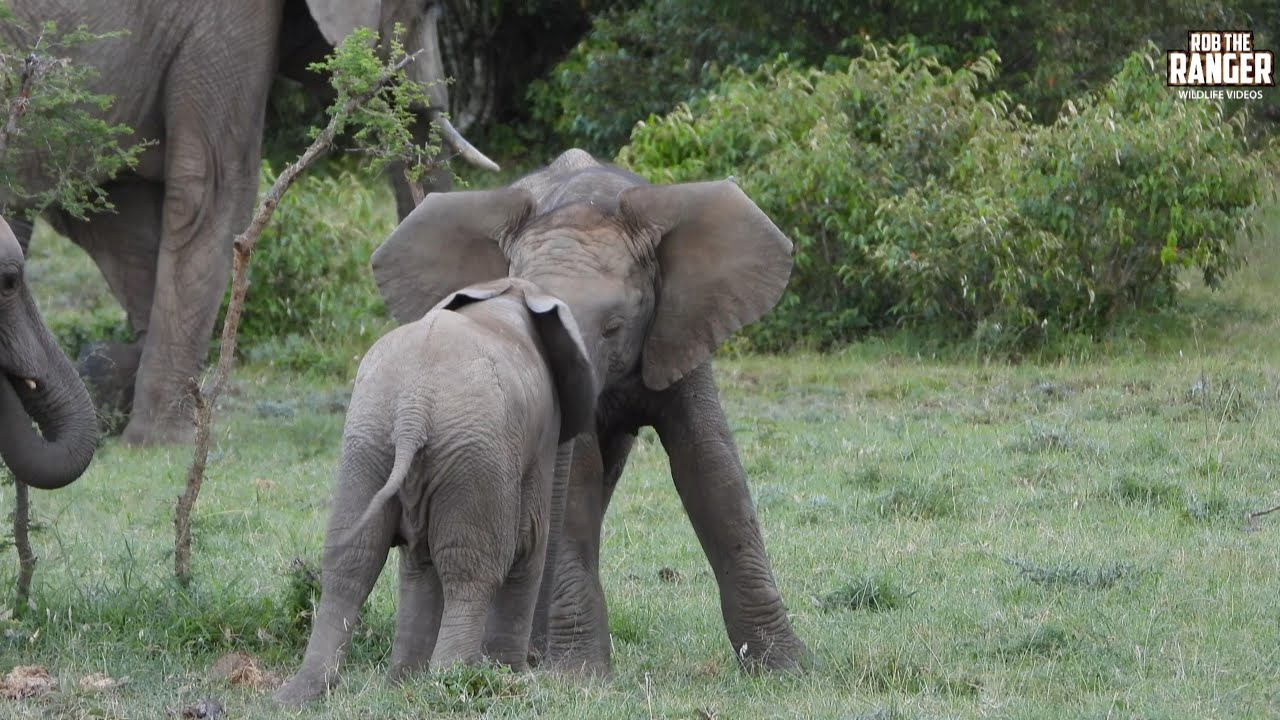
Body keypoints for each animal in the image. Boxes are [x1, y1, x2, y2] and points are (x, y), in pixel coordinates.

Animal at [274, 276, 595, 705]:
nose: (535, 663)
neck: (507, 291)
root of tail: (413, 407)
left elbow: (417, 561)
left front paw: (402, 686)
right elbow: (528, 542)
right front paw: (514, 678)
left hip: (367, 441)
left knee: (352, 561)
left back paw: (302, 695)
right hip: (473, 456)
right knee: (472, 570)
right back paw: (451, 682)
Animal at [369, 149, 810, 675]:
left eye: (614, 327)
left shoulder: (679, 327)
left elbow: (710, 465)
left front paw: (788, 669)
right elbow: (579, 475)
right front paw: (581, 677)